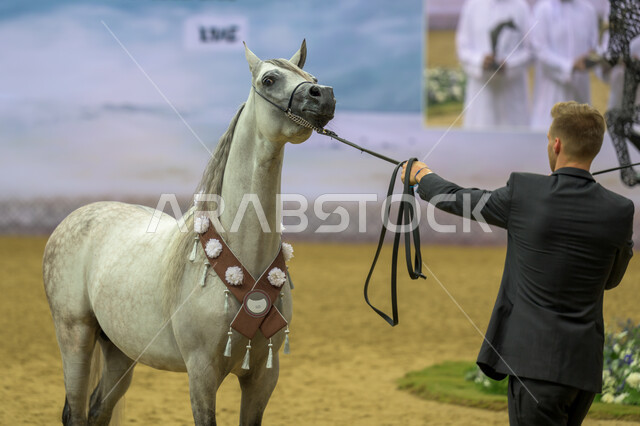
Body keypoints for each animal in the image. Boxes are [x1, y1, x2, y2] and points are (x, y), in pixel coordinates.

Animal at [43, 40, 336, 426]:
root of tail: (74, 218)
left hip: (120, 350)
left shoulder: (263, 377)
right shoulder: (201, 373)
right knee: (76, 411)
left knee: (98, 409)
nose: (324, 96)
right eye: (269, 79)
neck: (242, 259)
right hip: (74, 334)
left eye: (311, 77)